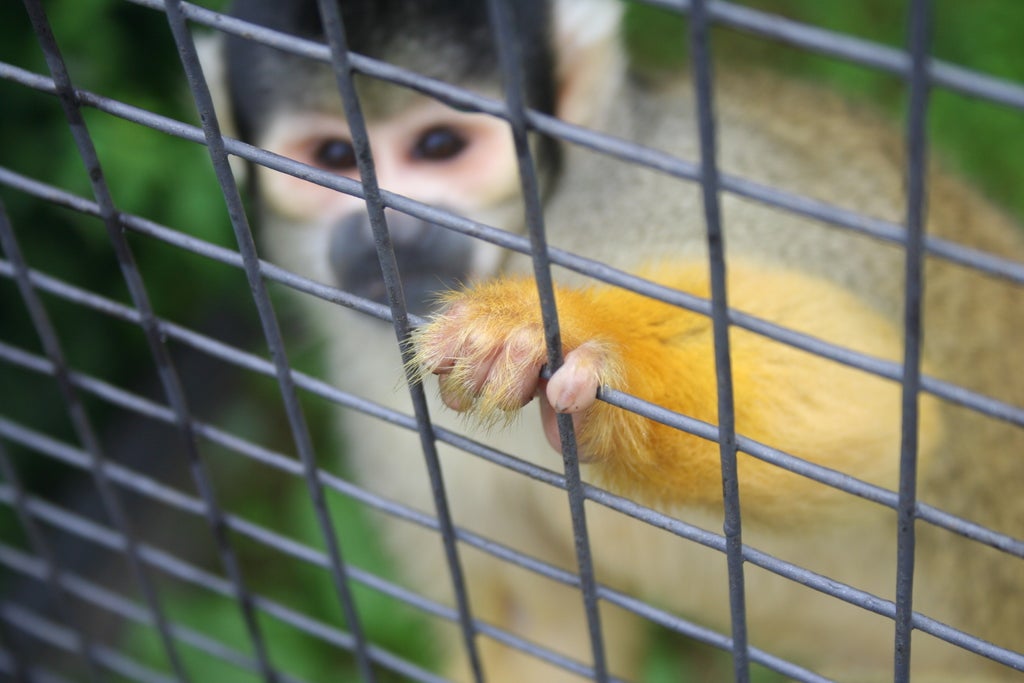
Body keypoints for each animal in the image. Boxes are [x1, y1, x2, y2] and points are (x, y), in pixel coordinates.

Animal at [211, 0, 1024, 681]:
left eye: (438, 145)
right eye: (332, 156)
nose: (388, 230)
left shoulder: (677, 190)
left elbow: (859, 398)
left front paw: (582, 343)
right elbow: (537, 626)